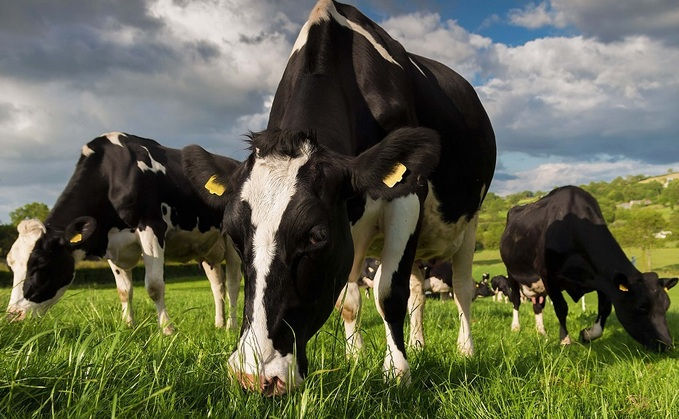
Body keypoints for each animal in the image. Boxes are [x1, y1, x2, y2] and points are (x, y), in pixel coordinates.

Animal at [5, 132, 242, 333]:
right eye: (11, 266)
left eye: (41, 265)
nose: (12, 316)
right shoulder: (111, 245)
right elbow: (124, 291)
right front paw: (128, 326)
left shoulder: (152, 227)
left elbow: (154, 286)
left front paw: (167, 330)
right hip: (206, 248)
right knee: (217, 285)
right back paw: (219, 323)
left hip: (232, 241)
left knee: (233, 283)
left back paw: (231, 326)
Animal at [182, 0, 495, 395]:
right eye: (234, 236)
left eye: (316, 236)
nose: (255, 376)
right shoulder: (351, 228)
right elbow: (350, 301)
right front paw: (355, 358)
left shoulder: (407, 195)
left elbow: (388, 293)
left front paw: (397, 372)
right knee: (416, 291)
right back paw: (419, 343)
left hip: (469, 223)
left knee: (462, 289)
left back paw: (465, 350)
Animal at [500, 185, 677, 349]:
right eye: (641, 307)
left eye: (666, 305)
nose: (667, 345)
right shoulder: (548, 275)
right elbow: (561, 308)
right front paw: (565, 340)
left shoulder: (603, 279)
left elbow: (605, 309)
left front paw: (587, 334)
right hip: (512, 273)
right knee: (516, 300)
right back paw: (516, 327)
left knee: (538, 305)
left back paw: (541, 331)